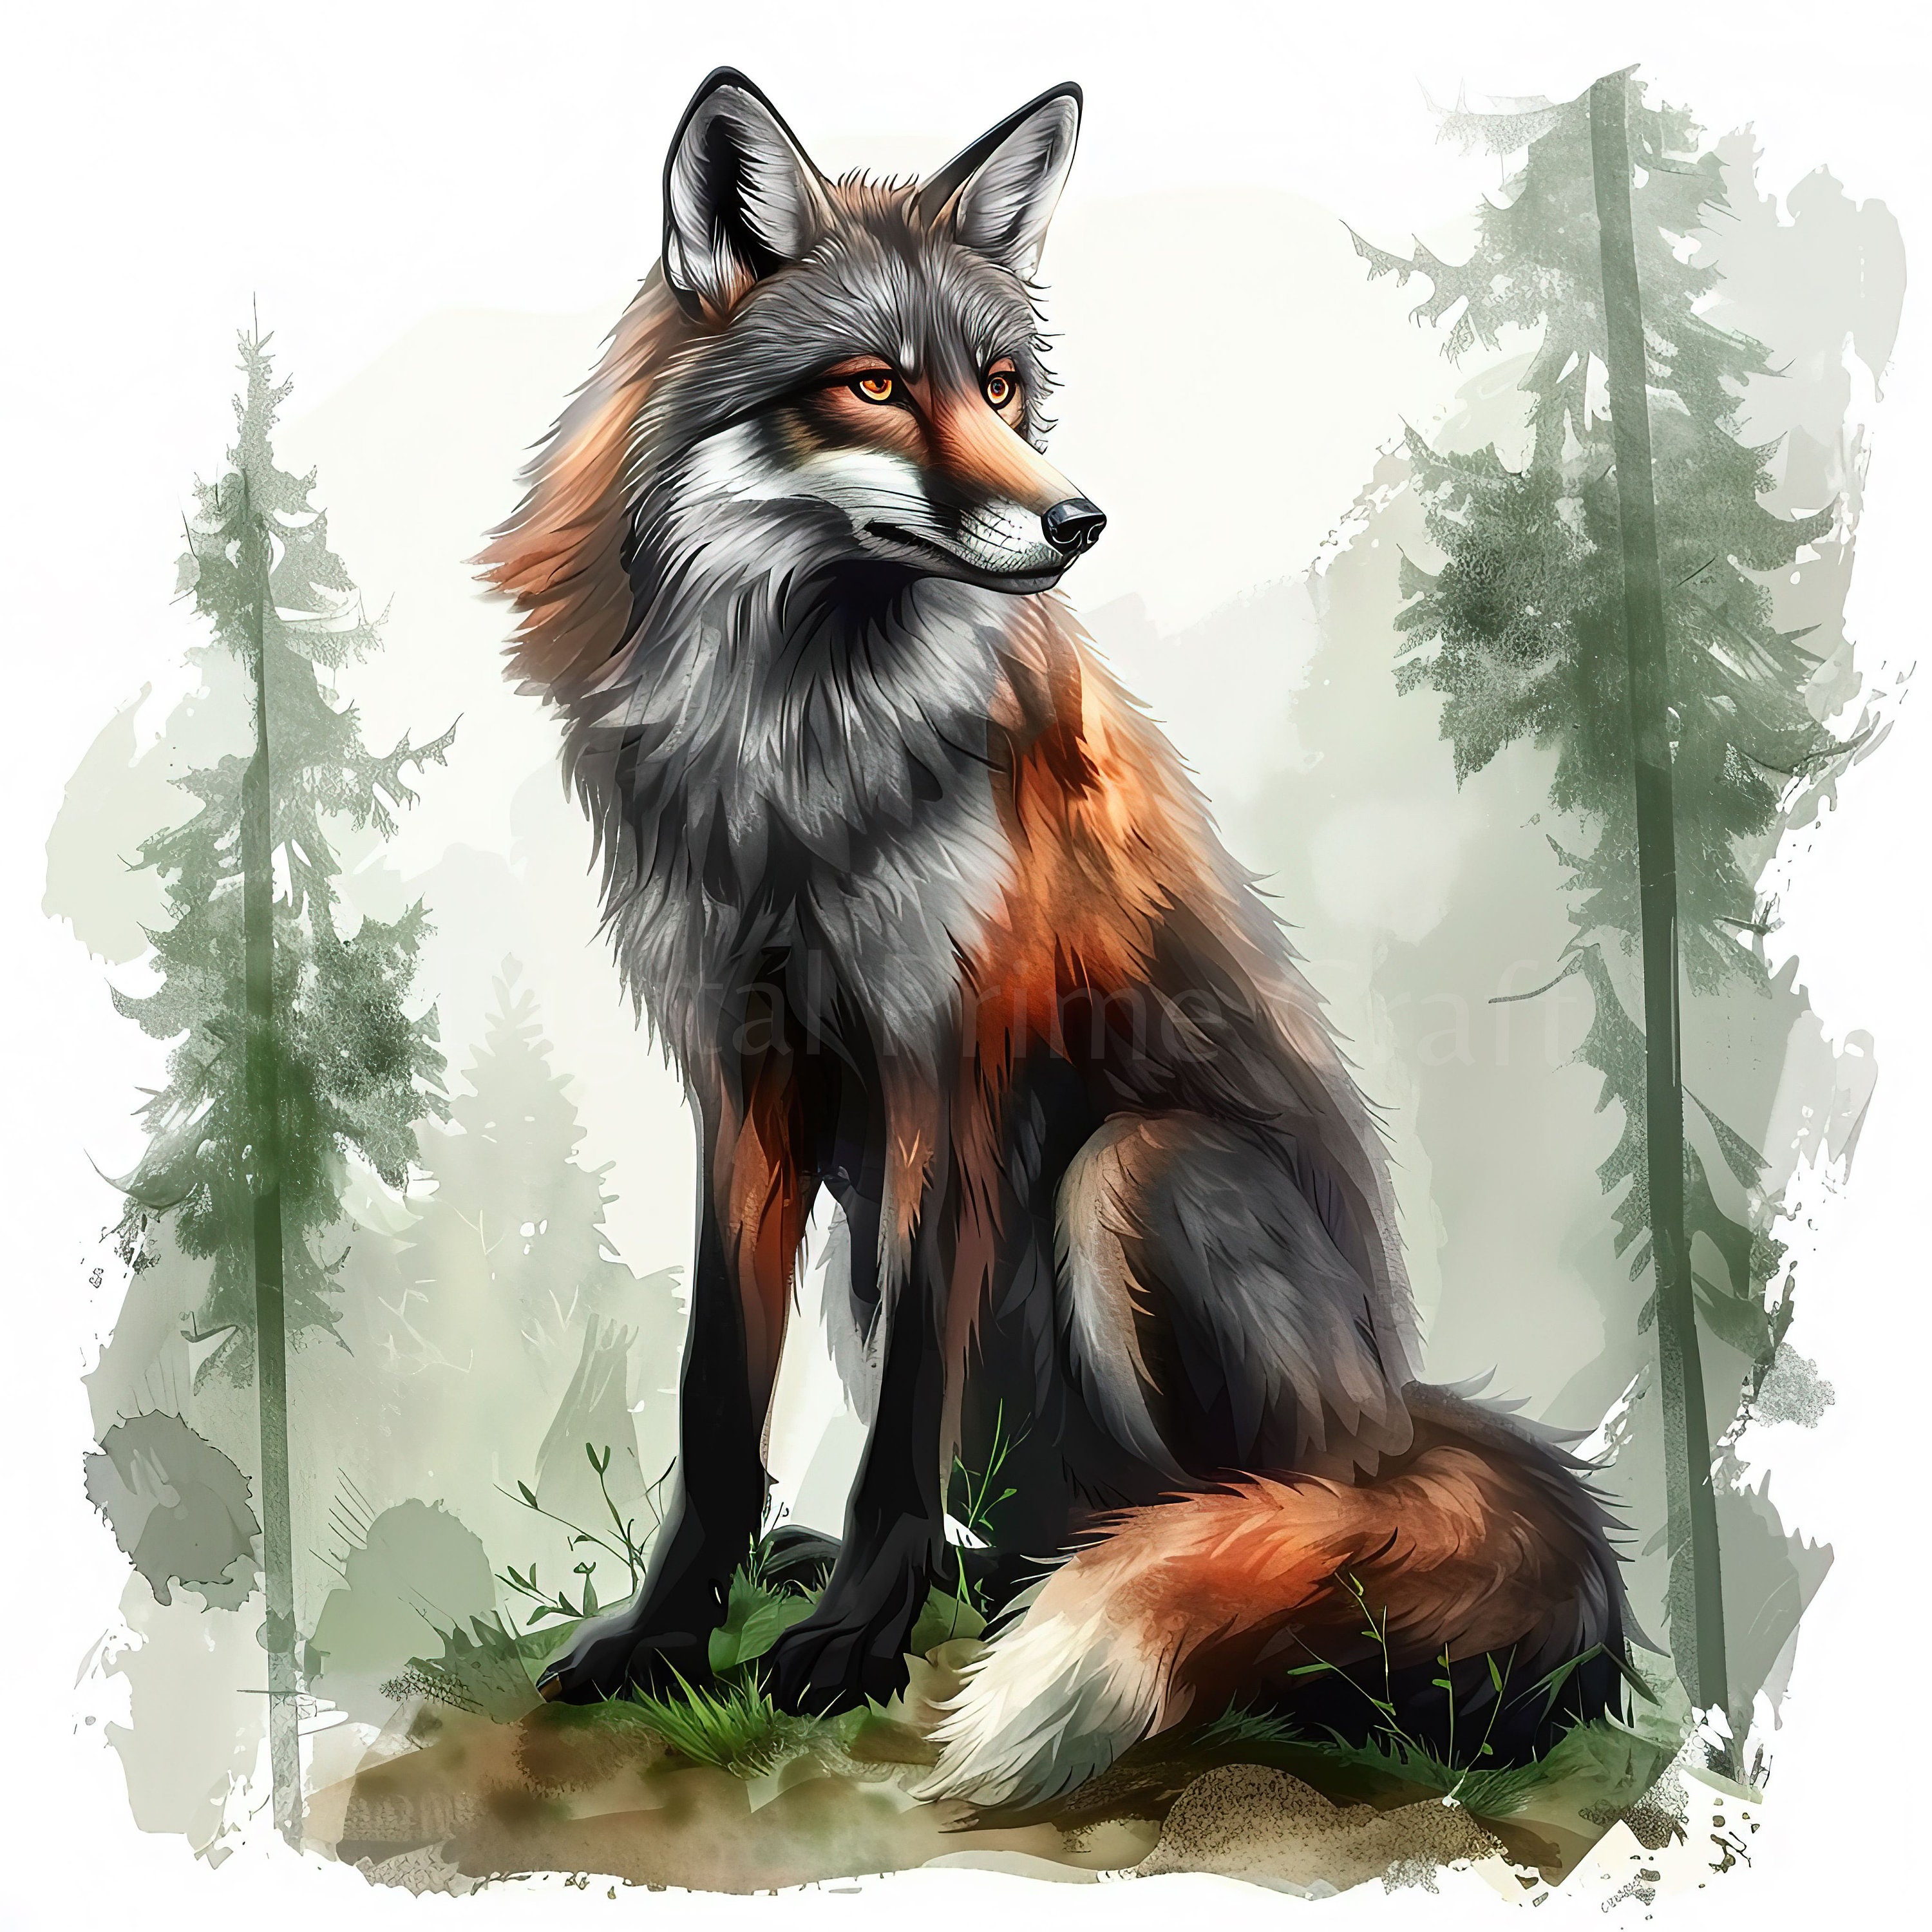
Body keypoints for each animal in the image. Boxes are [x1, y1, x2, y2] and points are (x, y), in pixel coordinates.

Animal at [480, 68, 1629, 1808]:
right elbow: (713, 1404)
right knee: (1051, 1526)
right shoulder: (745, 1081)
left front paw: (850, 1639)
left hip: (1135, 1175)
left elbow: (894, 1442)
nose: (1077, 519)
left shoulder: (949, 1064)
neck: (795, 760)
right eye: (875, 384)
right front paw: (672, 1632)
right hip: (889, 1258)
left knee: (1246, 1533)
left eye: (1004, 384)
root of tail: (1394, 1417)